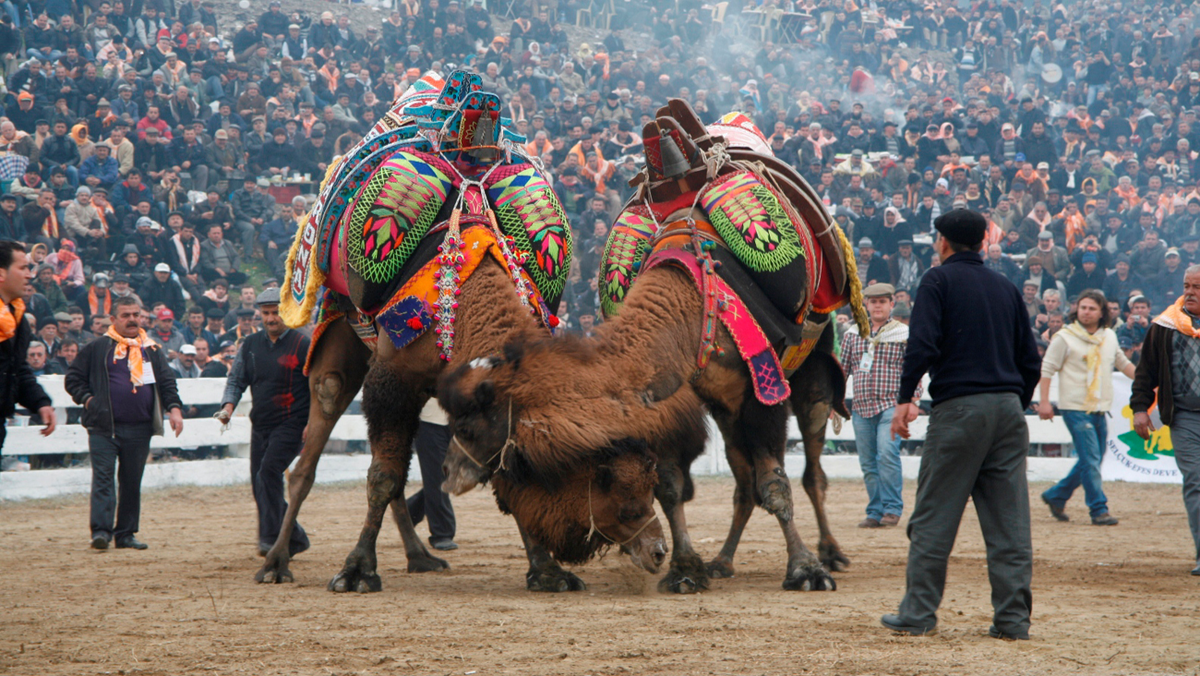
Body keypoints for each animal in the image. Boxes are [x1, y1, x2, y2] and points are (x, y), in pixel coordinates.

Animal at [439, 100, 864, 593]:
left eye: (473, 426)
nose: (449, 472)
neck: (689, 312)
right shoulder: (672, 402)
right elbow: (671, 486)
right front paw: (685, 569)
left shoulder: (762, 392)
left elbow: (775, 484)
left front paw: (804, 569)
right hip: (726, 408)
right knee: (743, 482)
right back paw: (723, 560)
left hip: (812, 365)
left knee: (812, 467)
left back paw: (831, 552)